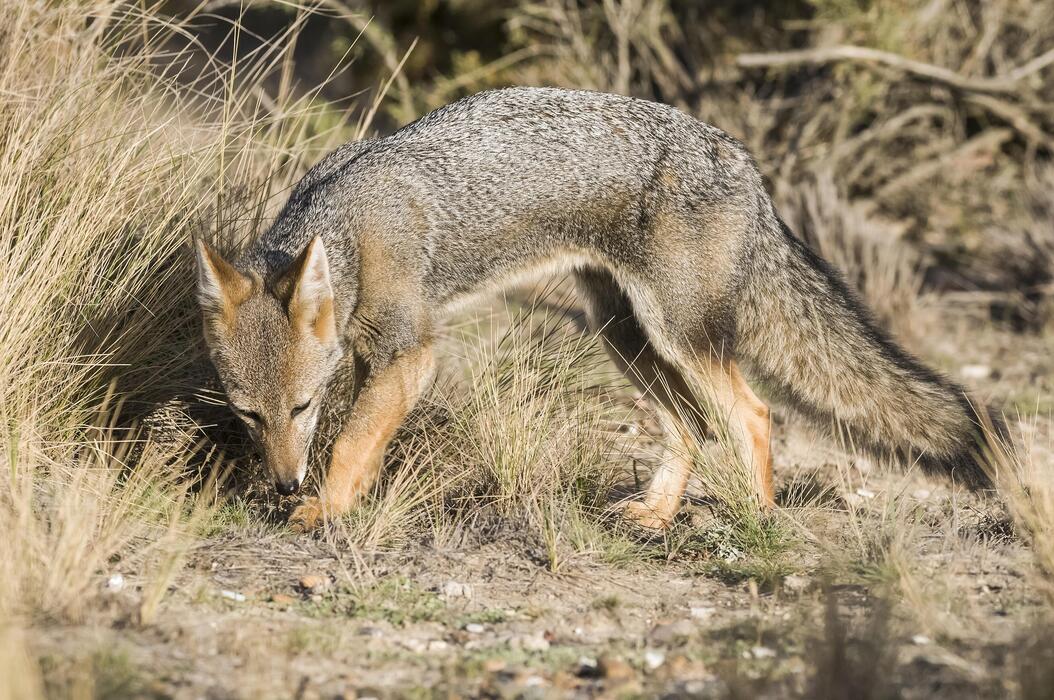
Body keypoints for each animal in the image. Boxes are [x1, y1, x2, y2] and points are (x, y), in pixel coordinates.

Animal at [194, 86, 1003, 531]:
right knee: (691, 425)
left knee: (752, 414)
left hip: (679, 334)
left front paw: (323, 508)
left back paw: (758, 519)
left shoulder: (410, 351)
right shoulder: (376, 360)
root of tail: (743, 160)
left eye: (300, 407)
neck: (349, 225)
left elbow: (351, 441)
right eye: (247, 415)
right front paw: (338, 501)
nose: (281, 483)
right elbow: (361, 439)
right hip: (625, 335)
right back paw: (657, 513)